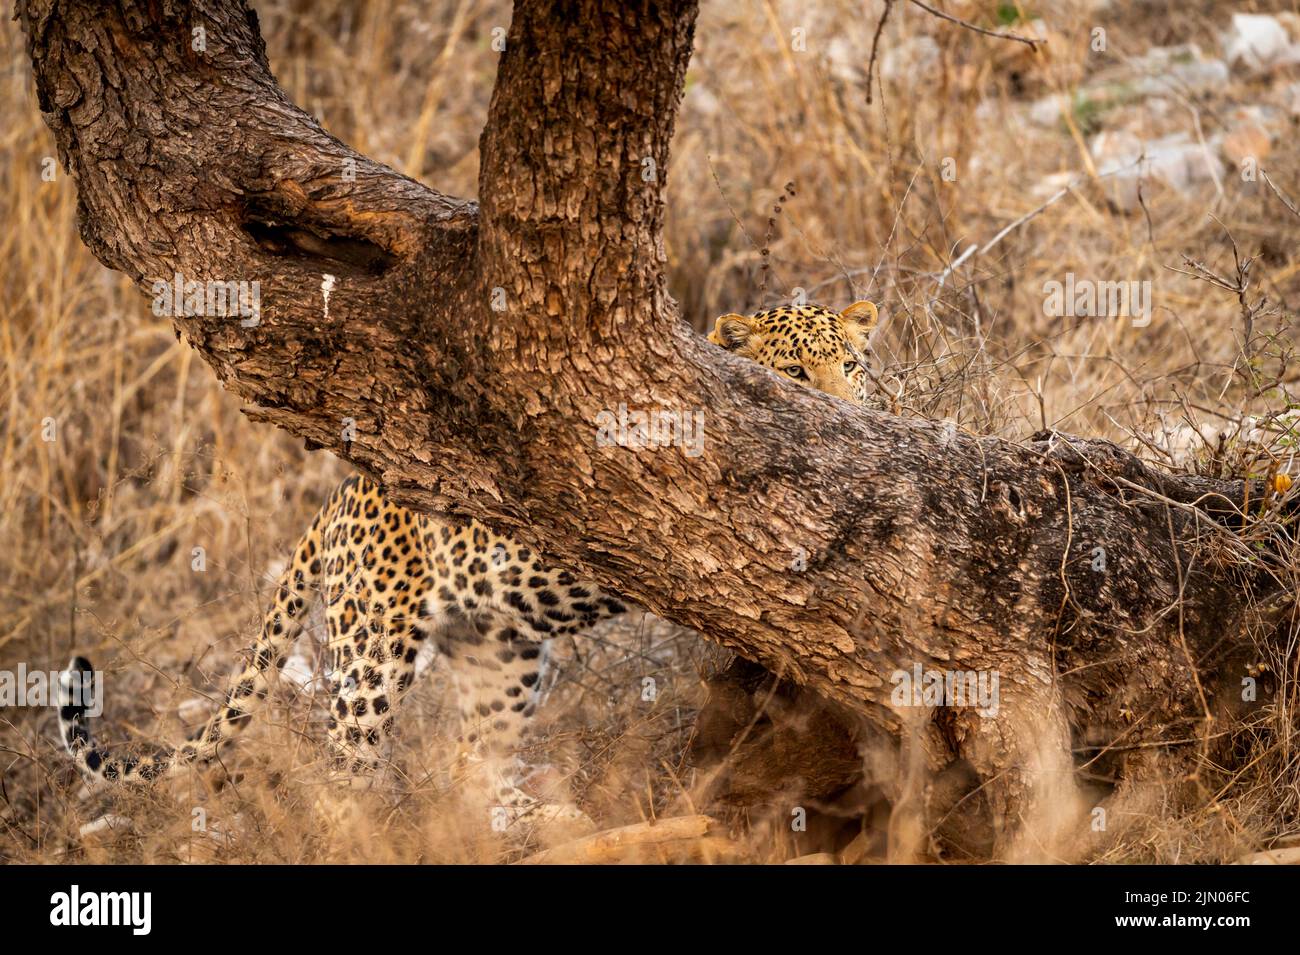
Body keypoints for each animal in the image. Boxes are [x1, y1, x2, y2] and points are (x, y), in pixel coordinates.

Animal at [56, 299, 879, 830]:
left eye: (850, 365)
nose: (856, 416)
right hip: (374, 652)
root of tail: (340, 496)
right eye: (795, 374)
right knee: (345, 767)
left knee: (469, 765)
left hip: (503, 656)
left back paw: (541, 817)